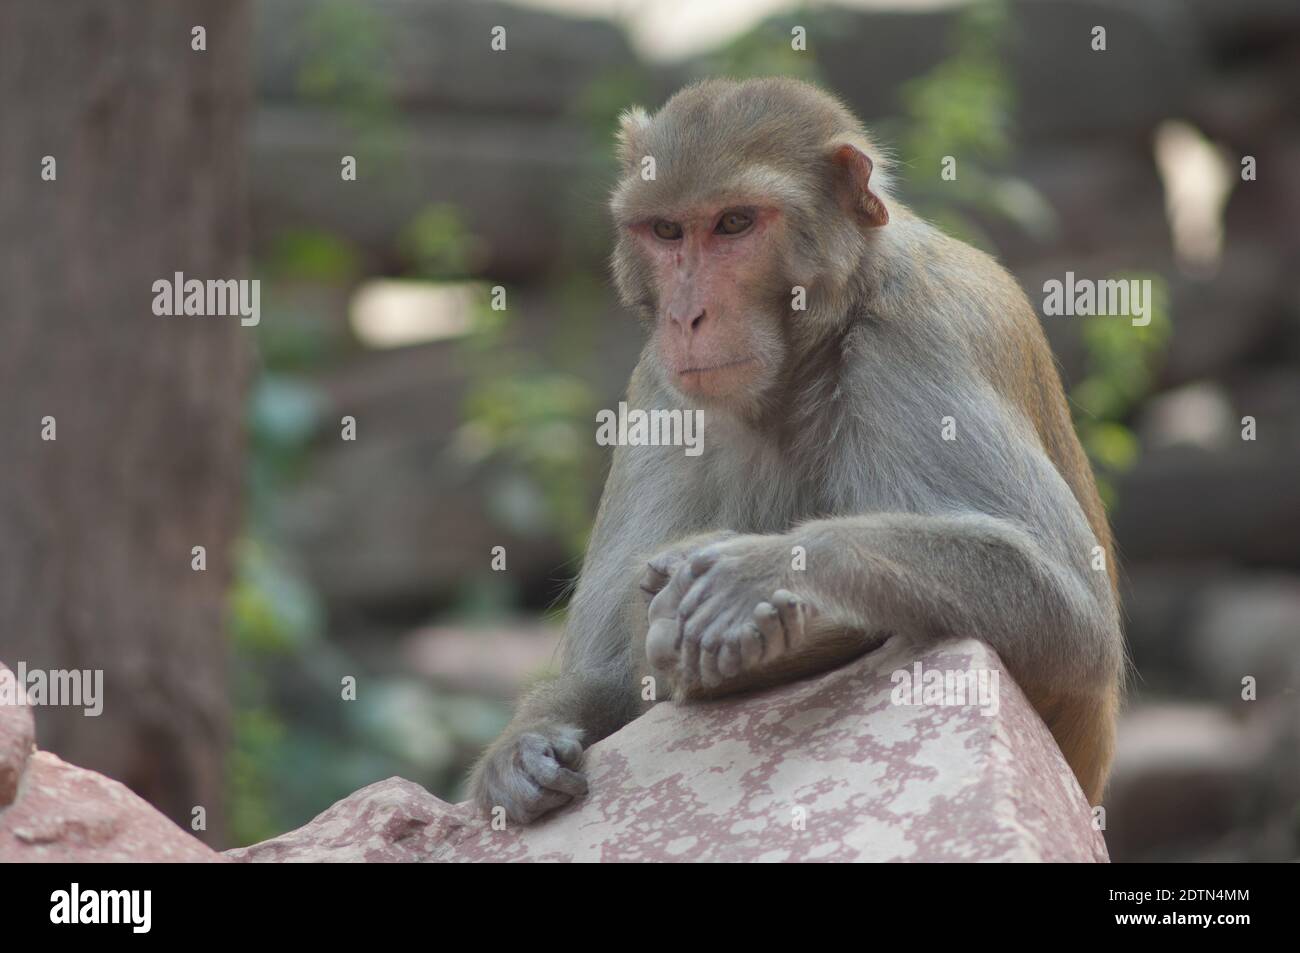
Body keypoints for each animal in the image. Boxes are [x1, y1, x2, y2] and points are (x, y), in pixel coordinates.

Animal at [469, 77, 1123, 825]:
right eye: (666, 231)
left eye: (733, 224)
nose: (685, 316)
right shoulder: (660, 385)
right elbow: (606, 677)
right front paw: (522, 748)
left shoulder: (923, 334)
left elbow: (1069, 606)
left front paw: (757, 570)